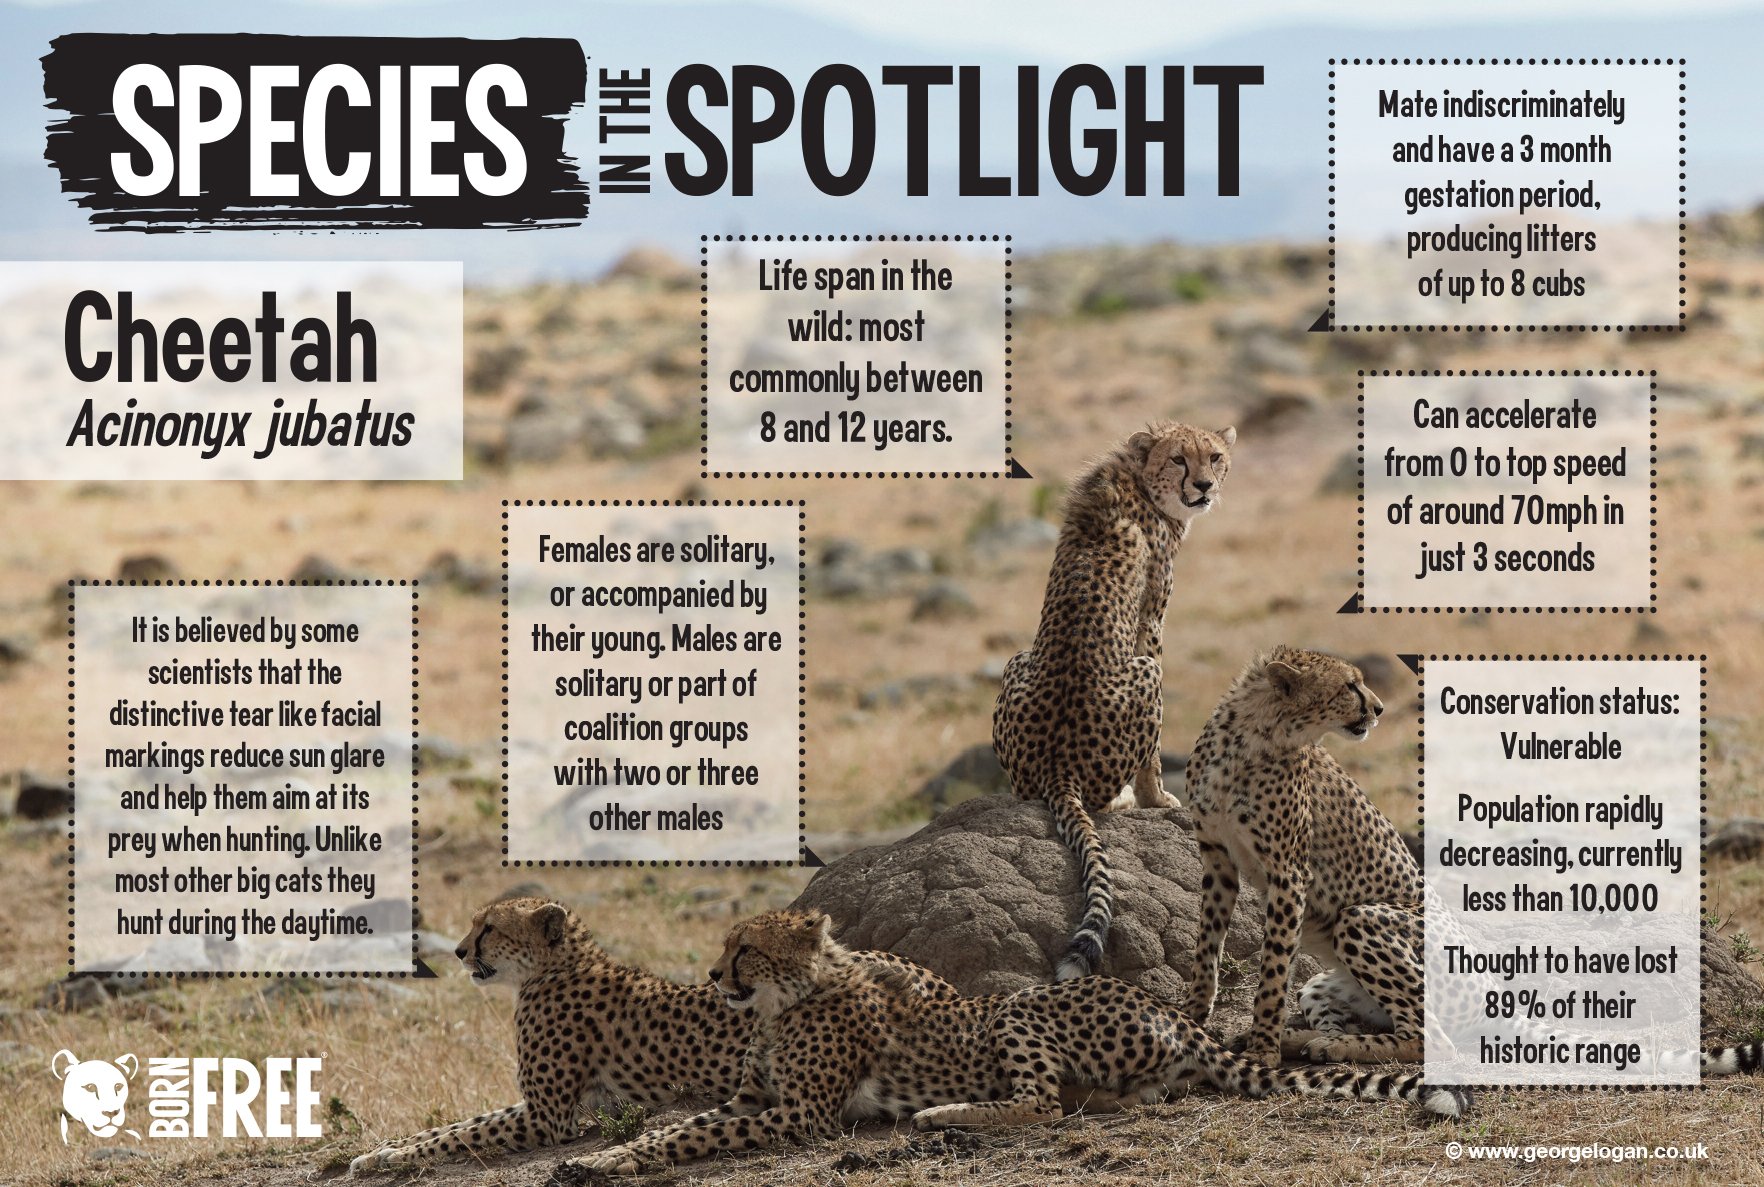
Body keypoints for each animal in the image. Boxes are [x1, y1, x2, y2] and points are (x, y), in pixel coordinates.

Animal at [347, 897, 955, 1174]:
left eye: (489, 928)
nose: (457, 951)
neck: (555, 967)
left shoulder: (549, 1118)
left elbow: (462, 1133)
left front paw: (390, 1158)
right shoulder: (540, 1105)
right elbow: (457, 1124)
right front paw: (382, 1151)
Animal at [559, 908, 1469, 1177]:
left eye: (746, 948)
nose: (716, 974)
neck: (787, 1002)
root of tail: (1171, 1010)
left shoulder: (799, 1113)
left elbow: (695, 1134)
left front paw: (608, 1162)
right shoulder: (753, 1095)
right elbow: (680, 1127)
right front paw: (599, 1157)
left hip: (1018, 1013)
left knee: (1041, 1103)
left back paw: (945, 1113)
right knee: (1083, 1096)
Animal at [993, 421, 1237, 981]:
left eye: (1214, 456)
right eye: (1179, 459)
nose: (1204, 486)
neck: (1136, 476)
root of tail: (1057, 767)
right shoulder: (1151, 630)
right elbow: (1155, 757)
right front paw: (1157, 799)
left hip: (1017, 663)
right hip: (1145, 673)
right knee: (1100, 802)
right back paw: (1126, 800)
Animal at [1184, 646, 1764, 1083]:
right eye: (1349, 686)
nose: (1379, 708)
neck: (1256, 733)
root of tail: (1495, 998)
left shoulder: (1288, 873)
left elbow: (1272, 969)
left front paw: (1261, 1048)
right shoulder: (1217, 856)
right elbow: (1207, 947)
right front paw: (1193, 1019)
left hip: (1362, 920)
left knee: (1429, 1039)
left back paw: (1317, 1046)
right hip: (1326, 983)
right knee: (1380, 1024)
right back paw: (1305, 1039)